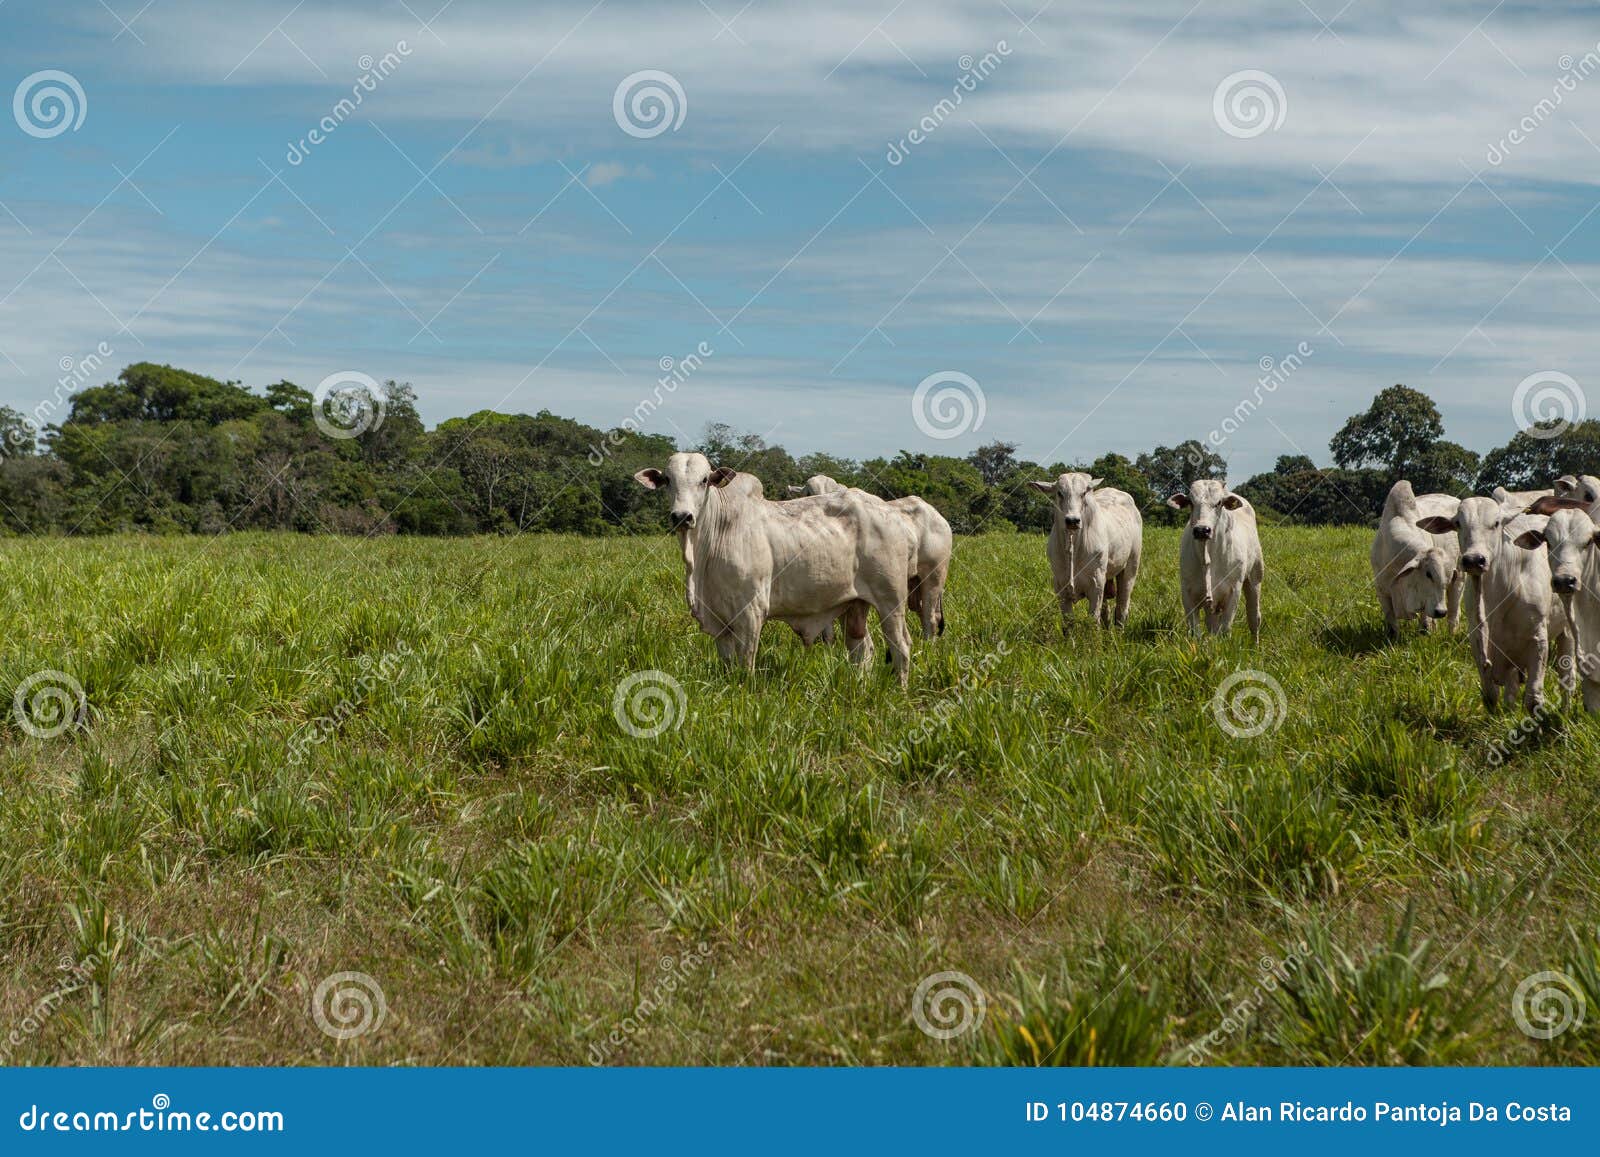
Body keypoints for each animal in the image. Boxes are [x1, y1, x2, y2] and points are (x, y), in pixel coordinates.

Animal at [635, 453, 917, 685]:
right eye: (668, 480)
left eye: (704, 480)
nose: (682, 517)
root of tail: (892, 512)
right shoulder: (719, 620)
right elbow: (727, 665)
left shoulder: (751, 612)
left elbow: (745, 664)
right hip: (854, 604)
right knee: (862, 649)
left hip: (890, 599)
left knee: (900, 644)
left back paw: (900, 691)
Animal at [1029, 472, 1142, 632]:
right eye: (1060, 493)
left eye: (1083, 493)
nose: (1072, 520)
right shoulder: (1060, 588)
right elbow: (1069, 624)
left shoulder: (1096, 585)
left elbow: (1093, 621)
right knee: (1106, 612)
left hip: (1130, 568)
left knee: (1121, 609)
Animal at [1167, 479, 1264, 642]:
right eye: (1191, 502)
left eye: (1219, 503)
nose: (1202, 530)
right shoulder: (1187, 593)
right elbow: (1195, 631)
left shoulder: (1234, 590)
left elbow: (1225, 628)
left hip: (1255, 578)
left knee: (1254, 617)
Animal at [1370, 481, 1462, 636]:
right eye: (1428, 574)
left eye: (1447, 578)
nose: (1440, 612)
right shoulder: (1381, 590)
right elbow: (1392, 624)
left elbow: (1425, 623)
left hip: (1460, 578)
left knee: (1453, 613)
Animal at [1418, 496, 1574, 713]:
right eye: (1458, 523)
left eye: (1496, 523)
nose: (1474, 560)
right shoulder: (1478, 640)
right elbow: (1491, 696)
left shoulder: (1538, 640)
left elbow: (1533, 700)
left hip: (1566, 632)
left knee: (1567, 677)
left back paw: (1566, 711)